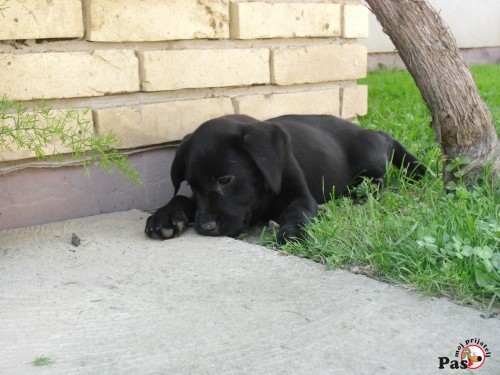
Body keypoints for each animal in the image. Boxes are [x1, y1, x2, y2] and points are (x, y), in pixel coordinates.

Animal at [144, 114, 426, 244]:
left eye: (225, 180)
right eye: (192, 184)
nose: (205, 227)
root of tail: (368, 130)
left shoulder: (301, 194)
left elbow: (298, 210)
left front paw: (292, 231)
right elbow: (182, 198)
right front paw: (165, 216)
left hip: (371, 157)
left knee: (384, 160)